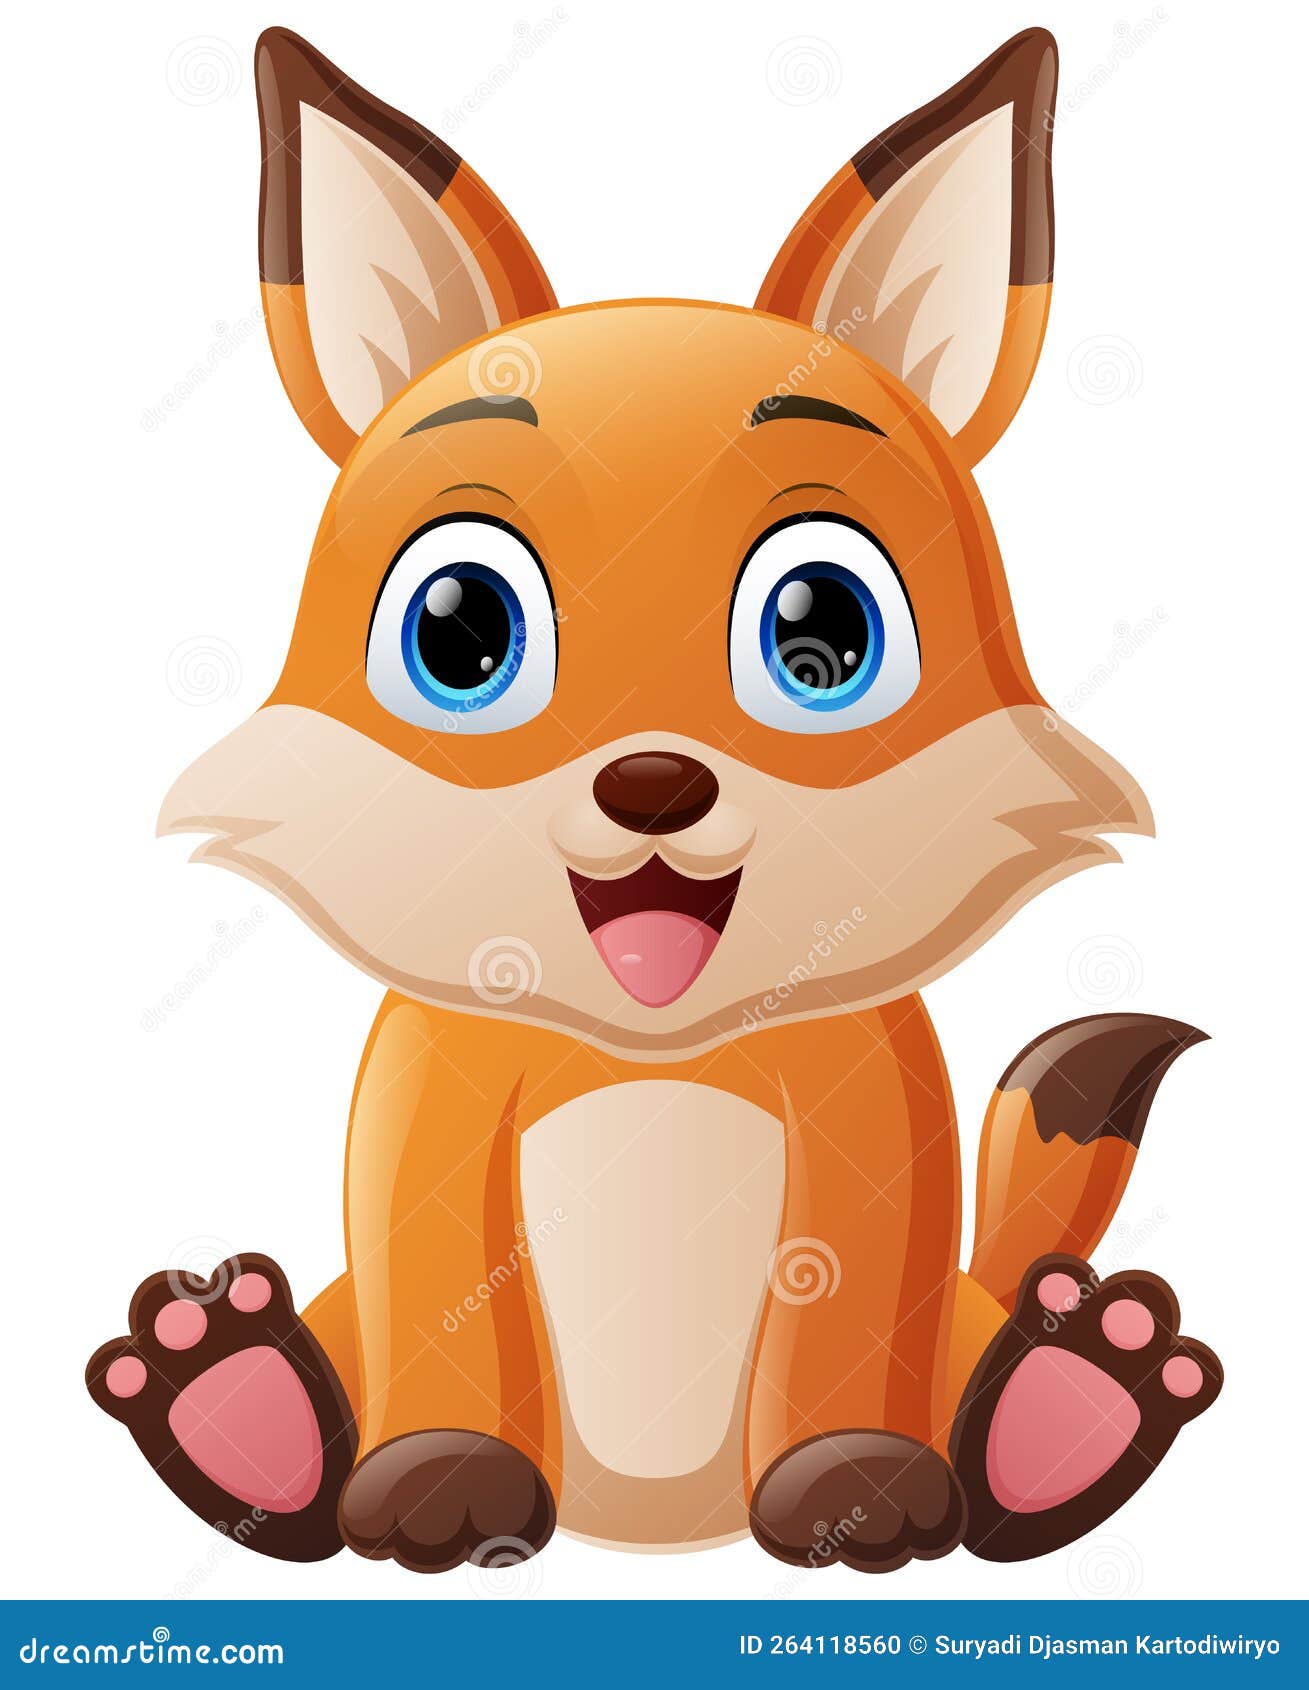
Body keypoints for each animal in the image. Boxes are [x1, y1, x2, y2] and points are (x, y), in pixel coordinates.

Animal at [87, 25, 1221, 1575]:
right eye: (460, 629)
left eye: (825, 629)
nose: (653, 779)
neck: (651, 1048)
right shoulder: (428, 1118)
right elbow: (437, 1285)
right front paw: (443, 1480)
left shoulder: (870, 1126)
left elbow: (851, 1299)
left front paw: (850, 1485)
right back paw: (236, 1398)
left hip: (966, 1331)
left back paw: (1066, 1401)